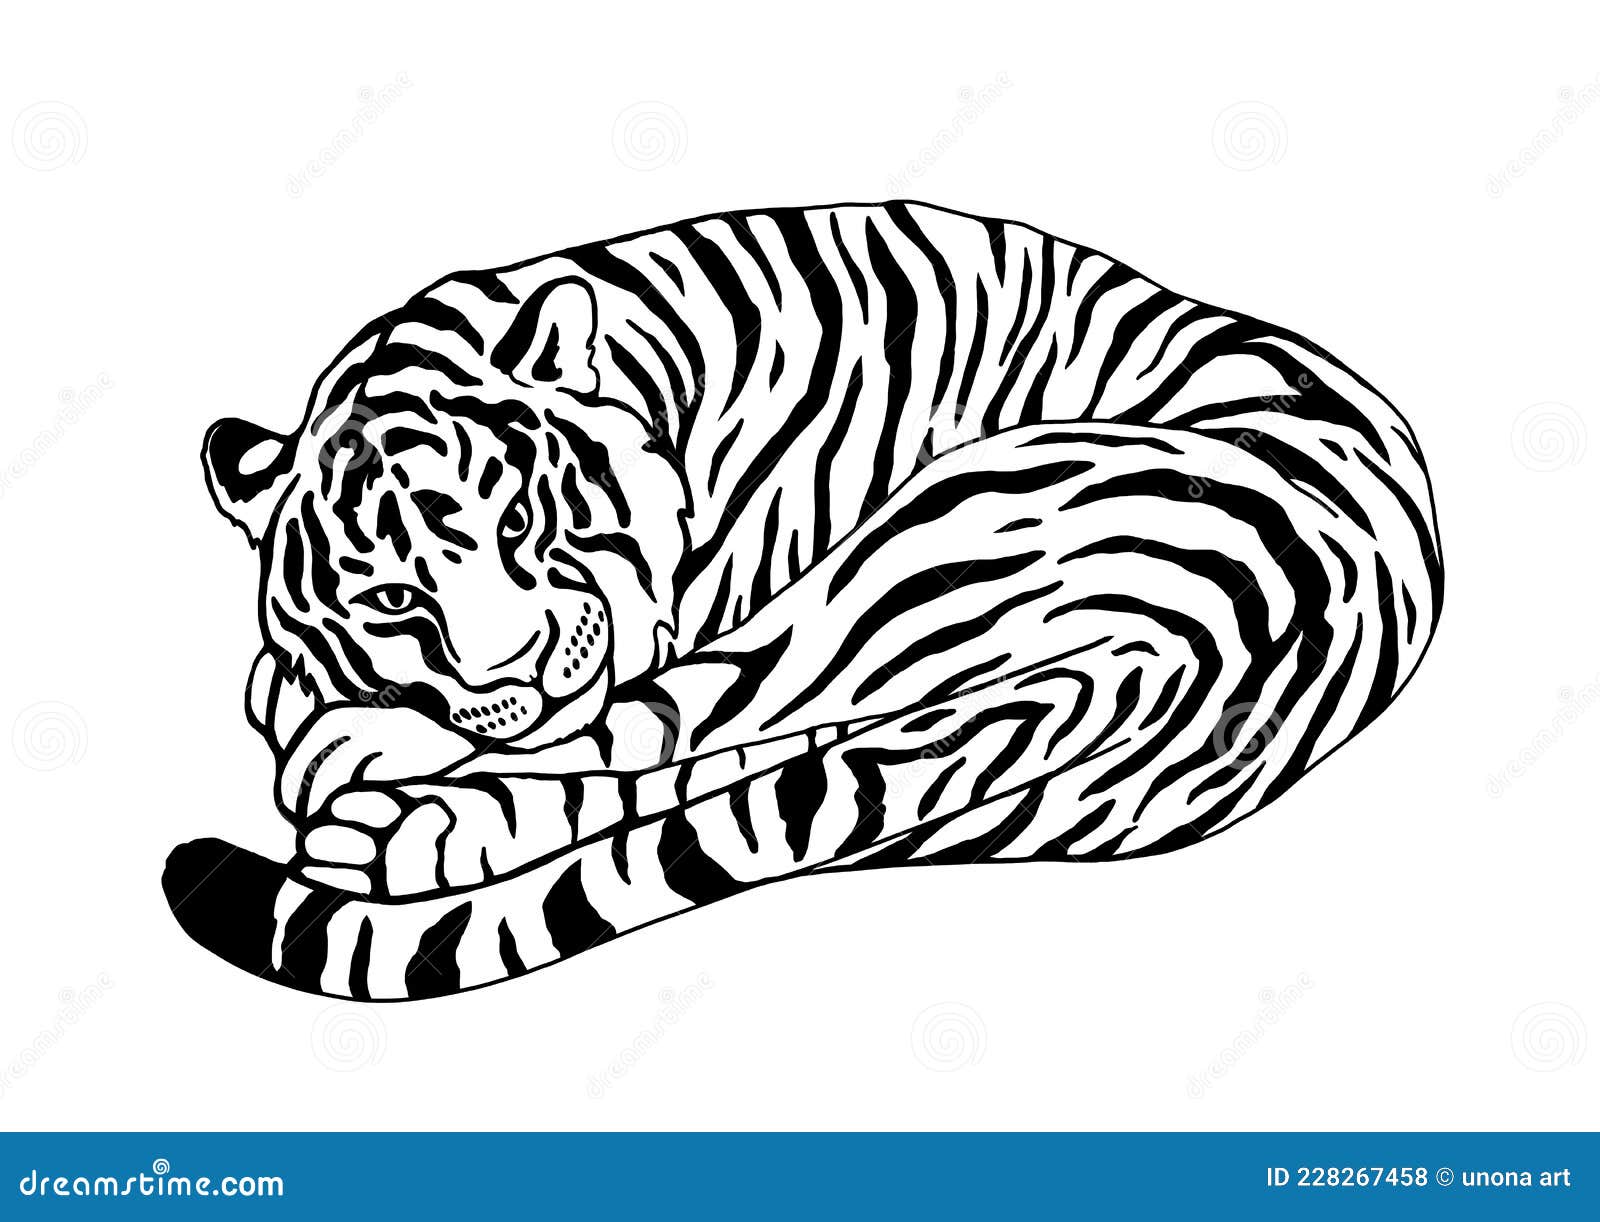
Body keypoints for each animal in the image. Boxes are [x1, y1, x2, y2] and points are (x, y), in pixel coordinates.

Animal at [164, 200, 1444, 1001]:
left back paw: (387, 819)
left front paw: (346, 732)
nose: (507, 671)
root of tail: (1171, 656)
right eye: (391, 596)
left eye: (520, 525)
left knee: (667, 731)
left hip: (900, 551)